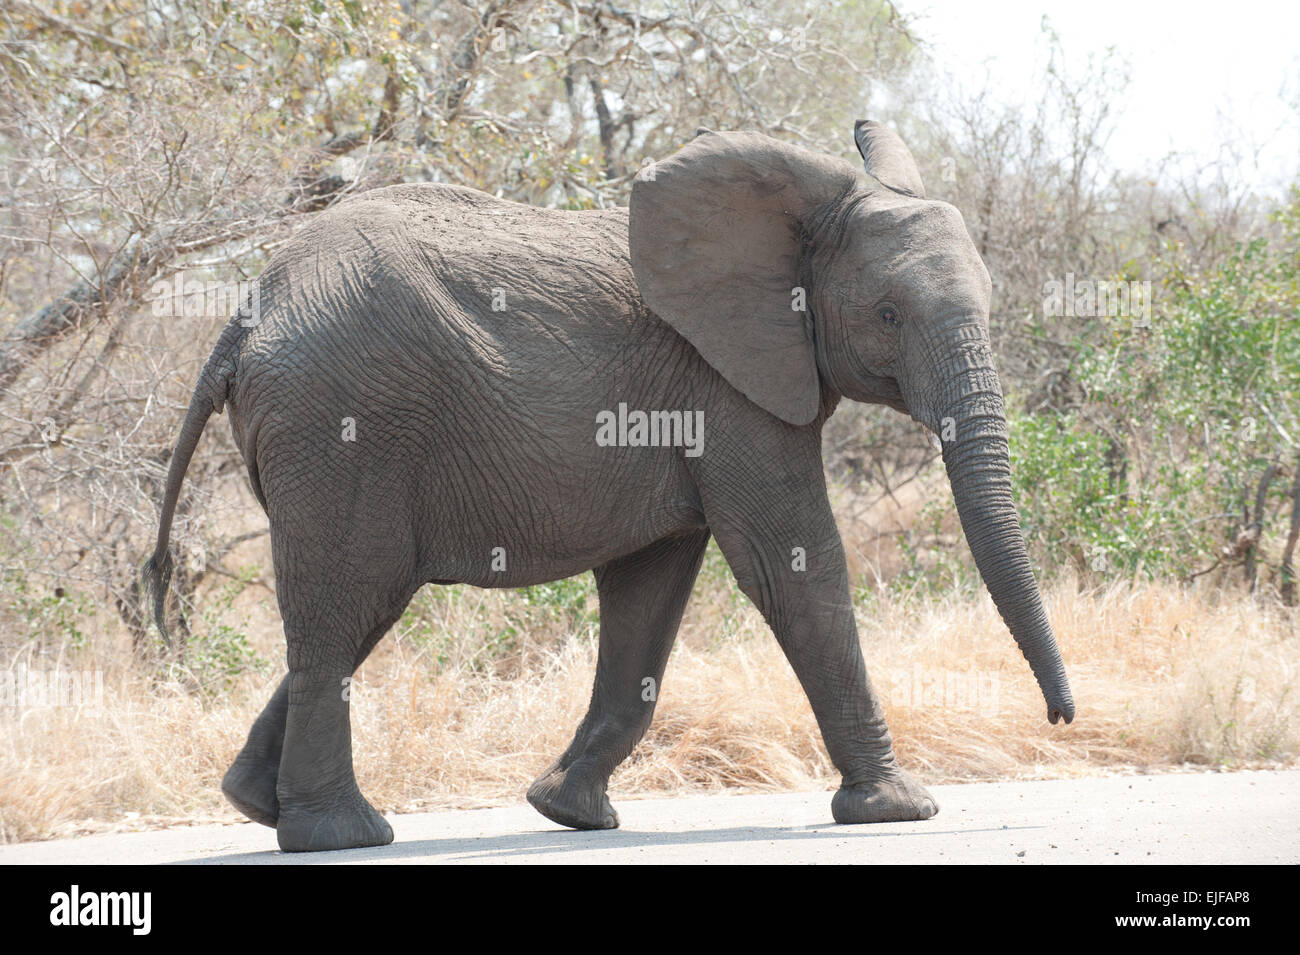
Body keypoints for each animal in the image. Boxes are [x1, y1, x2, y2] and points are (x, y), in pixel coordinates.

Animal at [142, 120, 1075, 852]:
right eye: (888, 315)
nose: (1062, 719)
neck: (805, 212)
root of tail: (245, 314)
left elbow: (650, 589)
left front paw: (569, 813)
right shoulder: (726, 384)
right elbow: (793, 564)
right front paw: (900, 810)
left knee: (355, 607)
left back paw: (253, 803)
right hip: (345, 423)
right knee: (347, 604)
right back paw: (343, 834)